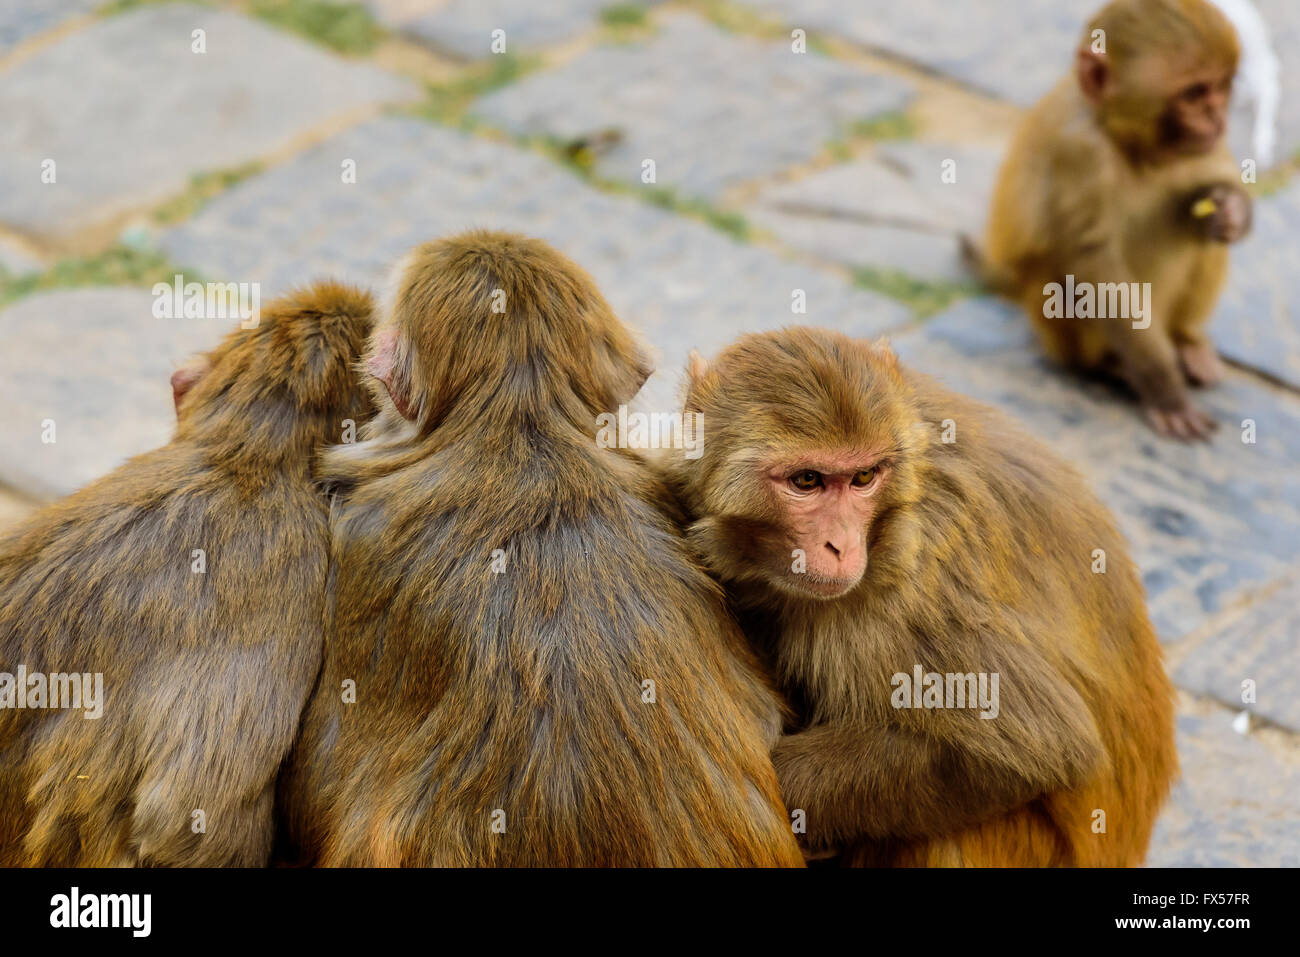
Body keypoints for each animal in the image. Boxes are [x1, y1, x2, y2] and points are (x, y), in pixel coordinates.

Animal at [975, 0, 1252, 440]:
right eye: (1194, 93)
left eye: (1222, 87)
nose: (1216, 118)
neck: (1132, 147)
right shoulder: (1079, 150)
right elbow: (1094, 267)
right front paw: (1165, 389)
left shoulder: (1201, 146)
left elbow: (1218, 187)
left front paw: (1231, 210)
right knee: (1060, 279)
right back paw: (1110, 366)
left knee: (1199, 234)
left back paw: (1187, 342)